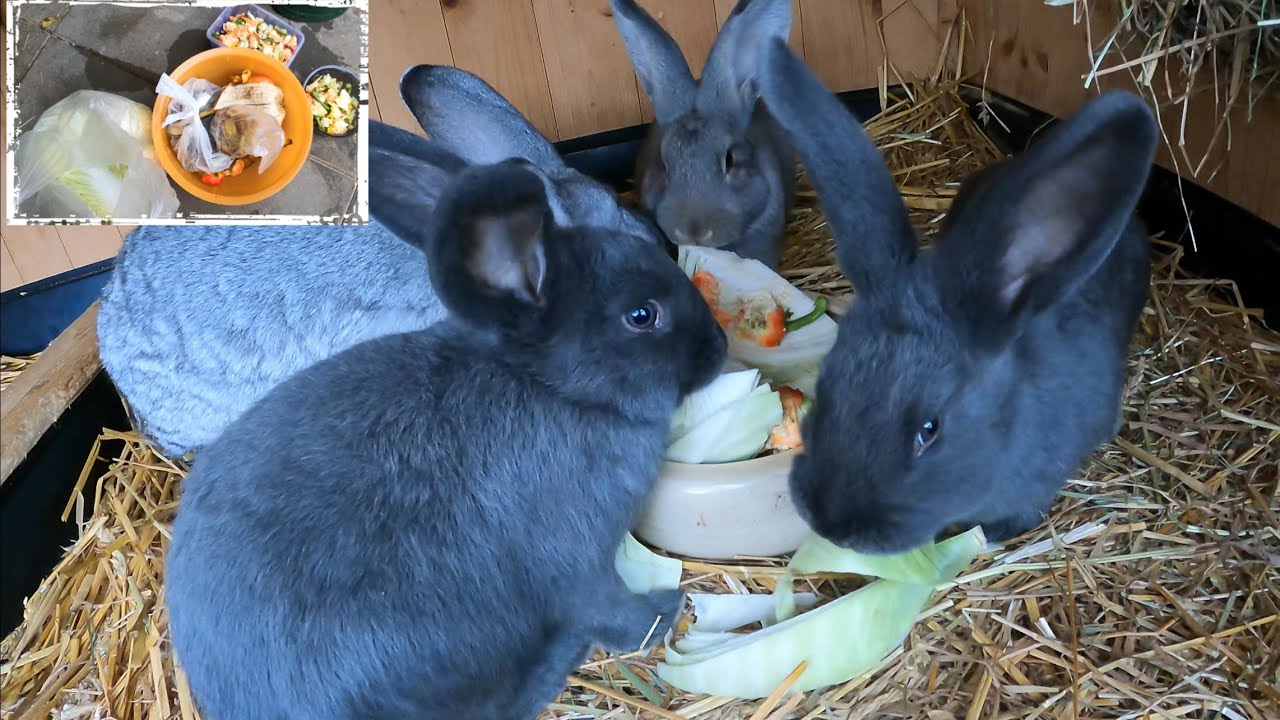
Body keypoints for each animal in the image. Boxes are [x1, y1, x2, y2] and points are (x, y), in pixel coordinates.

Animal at [164, 156, 729, 720]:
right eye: (642, 315)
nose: (719, 347)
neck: (550, 387)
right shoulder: (576, 559)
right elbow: (608, 608)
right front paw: (665, 612)